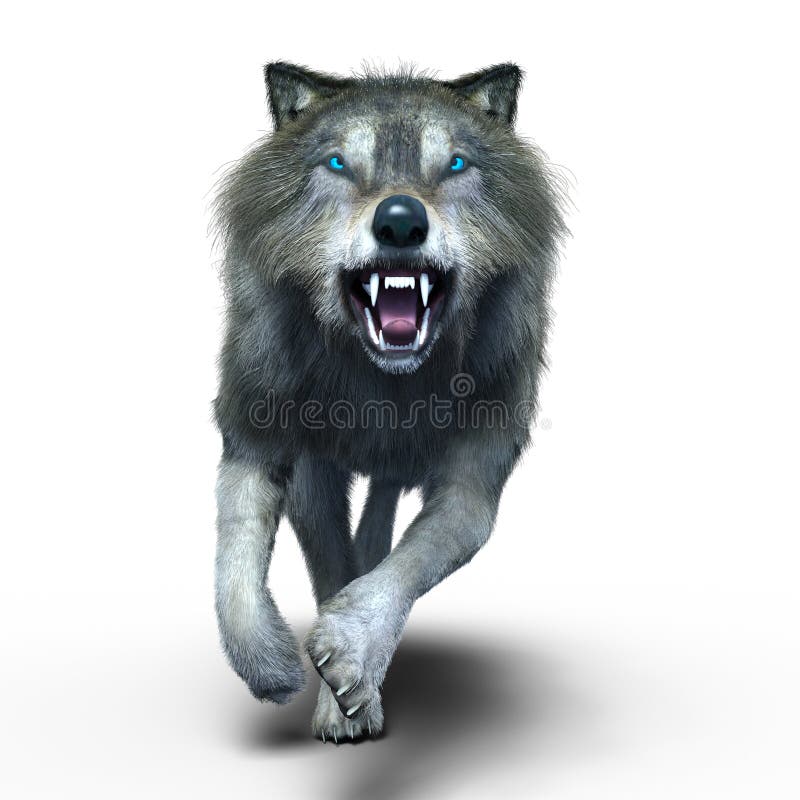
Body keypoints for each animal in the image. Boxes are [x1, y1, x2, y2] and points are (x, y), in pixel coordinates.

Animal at [212, 62, 567, 742]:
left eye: (454, 164)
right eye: (336, 163)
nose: (401, 221)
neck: (384, 393)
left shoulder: (473, 478)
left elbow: (412, 562)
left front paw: (351, 654)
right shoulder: (272, 439)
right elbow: (242, 565)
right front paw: (278, 670)